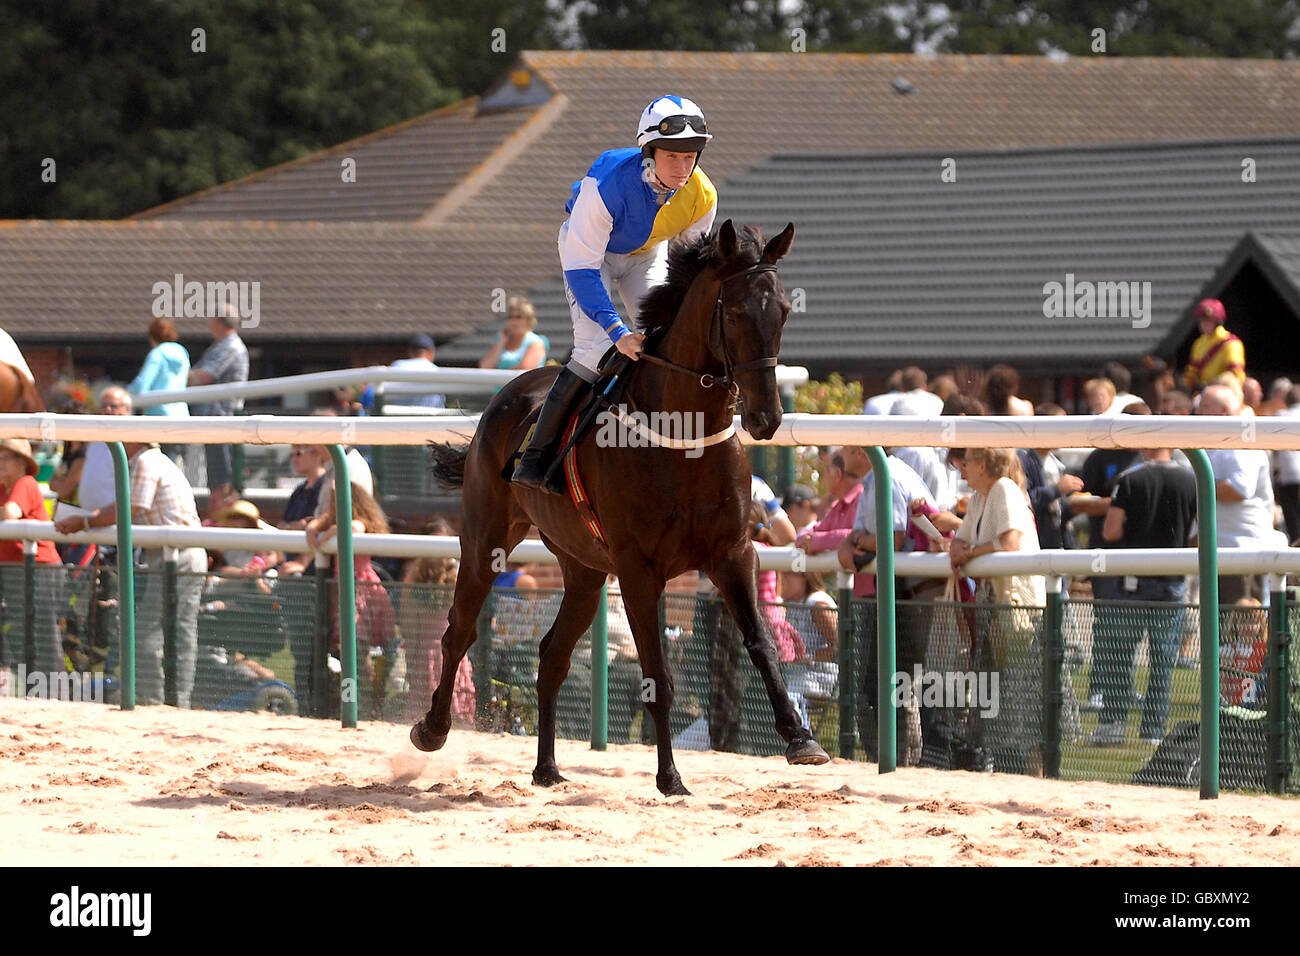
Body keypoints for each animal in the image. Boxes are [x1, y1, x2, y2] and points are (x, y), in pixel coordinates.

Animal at [412, 220, 829, 795]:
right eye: (736, 313)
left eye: (784, 310)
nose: (766, 418)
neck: (684, 435)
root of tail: (509, 393)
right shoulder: (638, 568)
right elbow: (658, 673)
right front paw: (670, 777)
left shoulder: (734, 554)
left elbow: (762, 643)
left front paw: (800, 740)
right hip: (484, 541)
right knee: (460, 631)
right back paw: (432, 729)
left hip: (584, 569)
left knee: (552, 654)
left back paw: (547, 768)